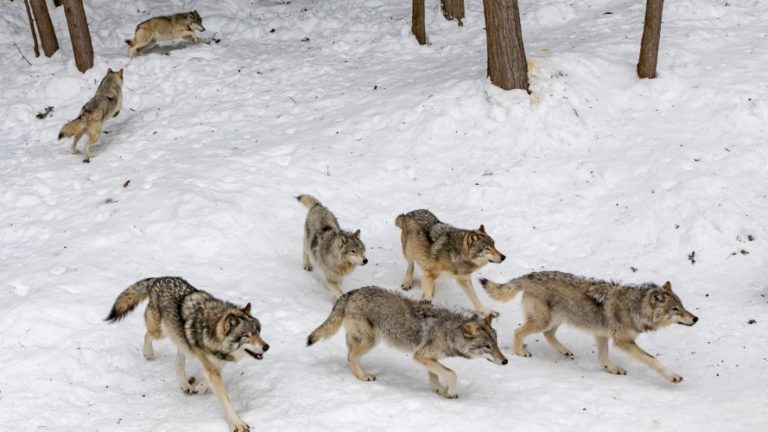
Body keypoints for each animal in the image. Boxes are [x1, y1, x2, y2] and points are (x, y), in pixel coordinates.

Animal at [106, 277, 269, 432]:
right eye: (247, 336)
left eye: (258, 332)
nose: (266, 347)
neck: (211, 331)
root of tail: (158, 279)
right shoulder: (212, 367)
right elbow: (225, 399)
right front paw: (237, 424)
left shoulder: (215, 364)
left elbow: (207, 379)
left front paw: (200, 386)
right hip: (160, 333)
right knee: (147, 335)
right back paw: (148, 353)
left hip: (179, 339)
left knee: (179, 360)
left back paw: (185, 384)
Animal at [307, 286, 507, 398]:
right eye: (487, 347)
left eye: (497, 344)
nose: (505, 361)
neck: (449, 332)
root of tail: (350, 292)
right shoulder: (420, 356)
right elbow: (452, 374)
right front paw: (450, 391)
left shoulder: (428, 358)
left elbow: (436, 376)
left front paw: (440, 391)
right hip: (370, 341)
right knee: (351, 357)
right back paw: (364, 376)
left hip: (363, 339)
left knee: (349, 356)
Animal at [480, 271, 698, 383]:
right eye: (675, 309)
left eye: (683, 306)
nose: (696, 318)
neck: (635, 308)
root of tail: (529, 275)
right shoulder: (623, 342)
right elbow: (653, 360)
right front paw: (673, 376)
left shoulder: (602, 335)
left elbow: (603, 357)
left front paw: (611, 369)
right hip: (543, 321)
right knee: (518, 332)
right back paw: (521, 352)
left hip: (556, 320)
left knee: (548, 334)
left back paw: (564, 351)